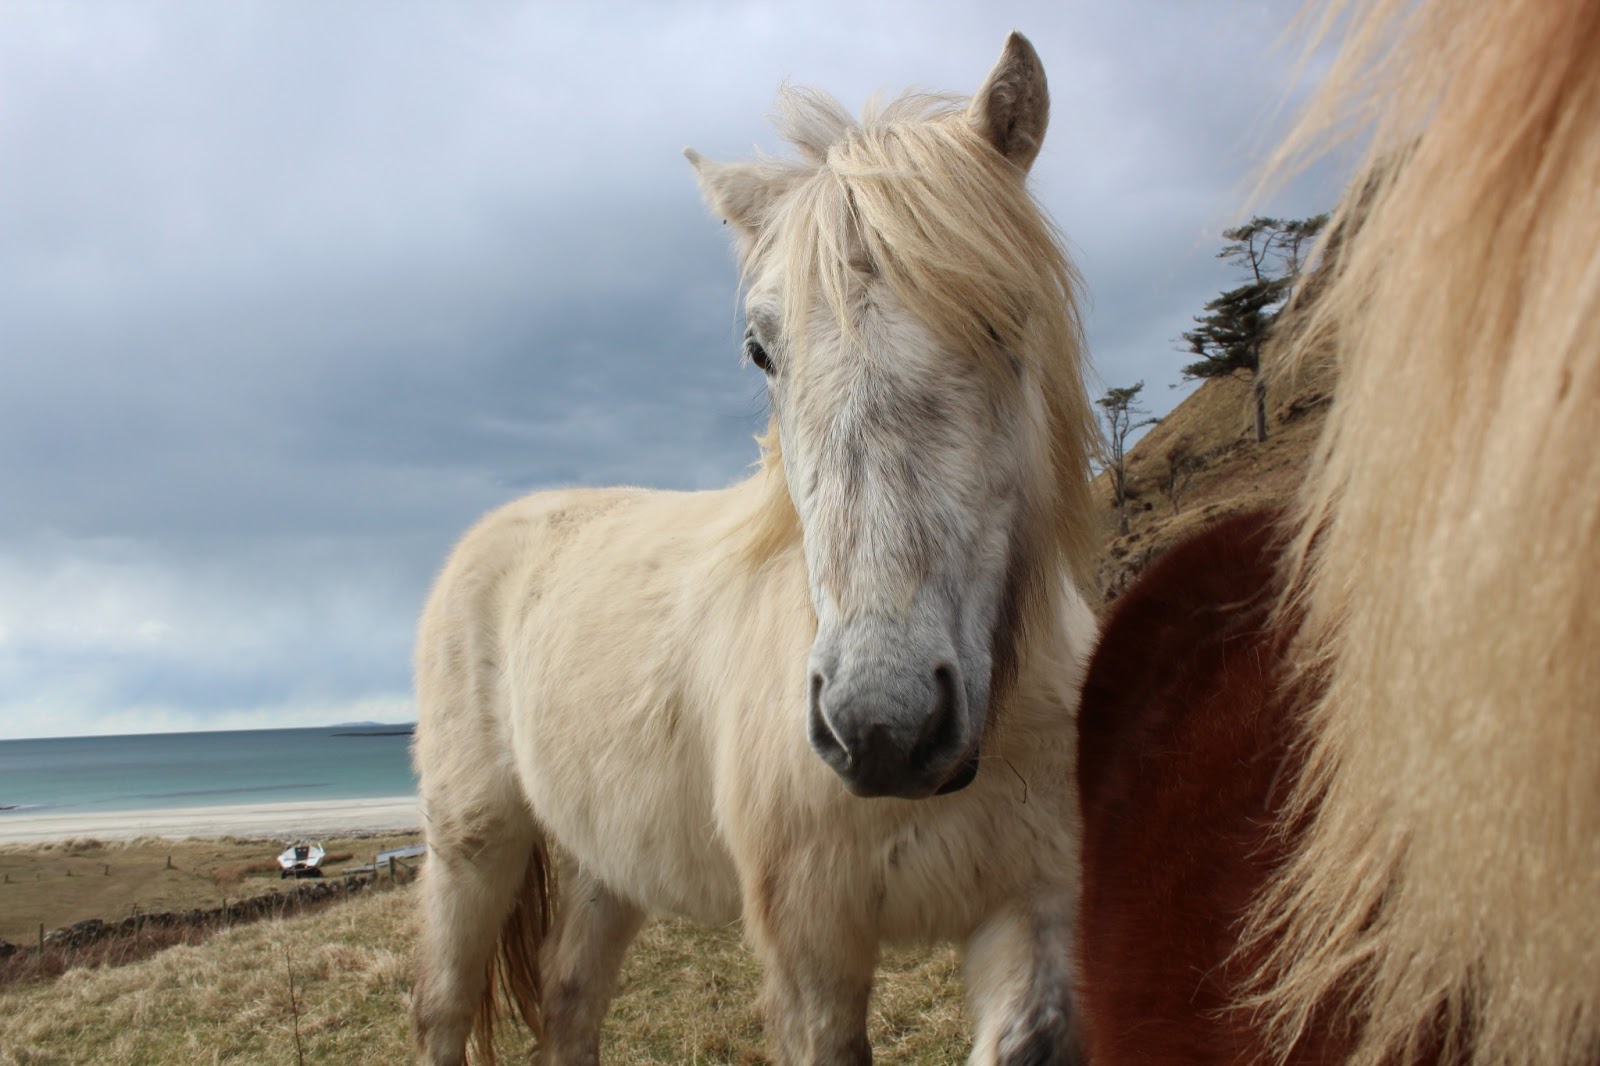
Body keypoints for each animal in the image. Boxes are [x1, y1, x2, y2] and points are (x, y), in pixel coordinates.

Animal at [410, 33, 1103, 1065]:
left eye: (1003, 316)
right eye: (759, 350)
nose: (883, 729)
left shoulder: (1037, 920)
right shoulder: (812, 954)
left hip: (609, 864)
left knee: (571, 1002)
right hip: (472, 843)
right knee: (444, 1009)